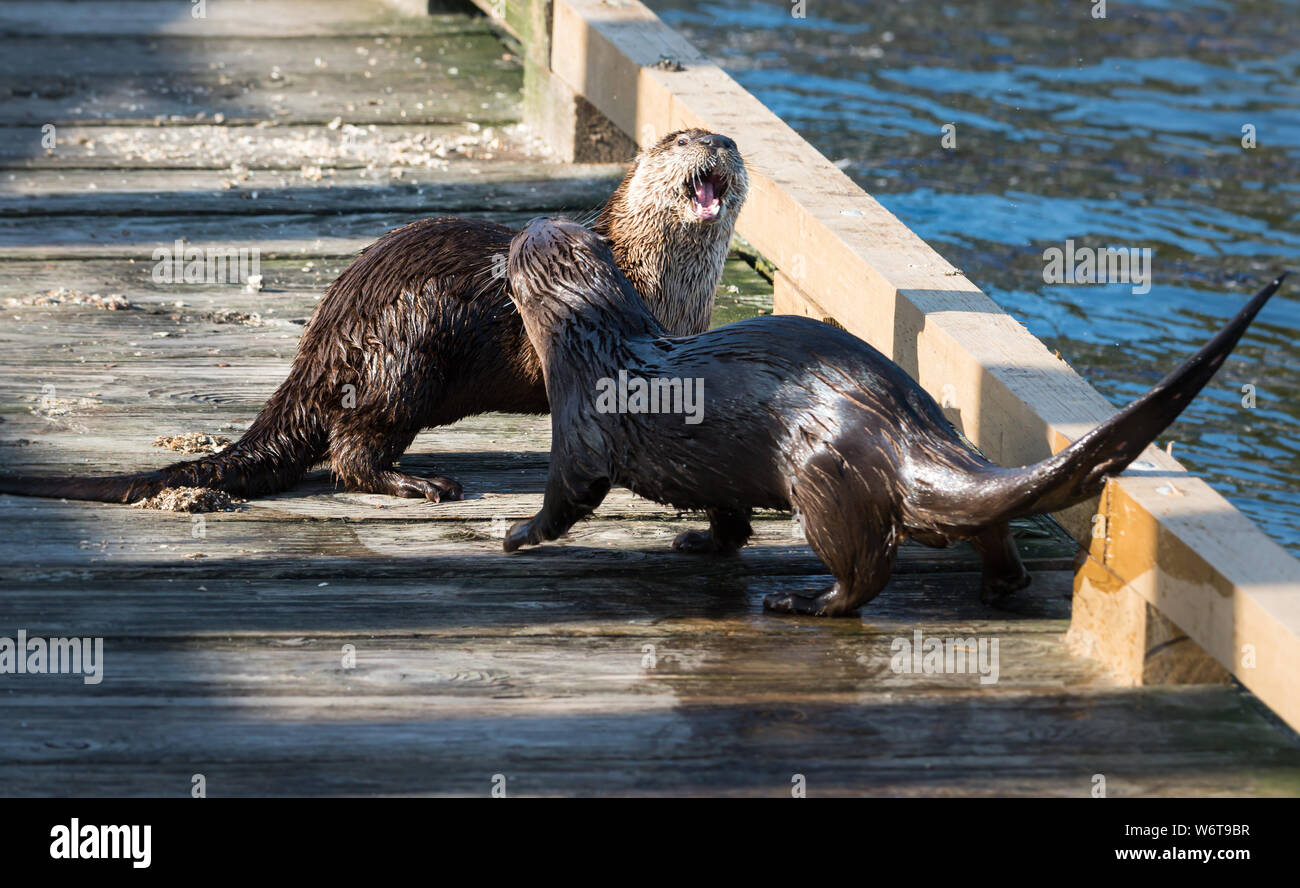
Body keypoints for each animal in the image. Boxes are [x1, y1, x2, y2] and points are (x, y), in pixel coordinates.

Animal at [0, 130, 747, 504]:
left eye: (729, 145)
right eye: (680, 141)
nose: (718, 144)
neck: (653, 280)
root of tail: (321, 342)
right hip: (406, 350)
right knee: (348, 453)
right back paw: (424, 483)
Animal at [501, 218, 1285, 616]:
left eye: (518, 241)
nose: (526, 224)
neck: (594, 336)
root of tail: (906, 434)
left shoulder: (580, 425)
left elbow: (569, 494)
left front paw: (517, 536)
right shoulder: (717, 467)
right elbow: (729, 517)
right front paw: (700, 542)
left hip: (822, 477)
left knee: (866, 570)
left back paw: (803, 601)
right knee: (986, 527)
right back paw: (1001, 584)